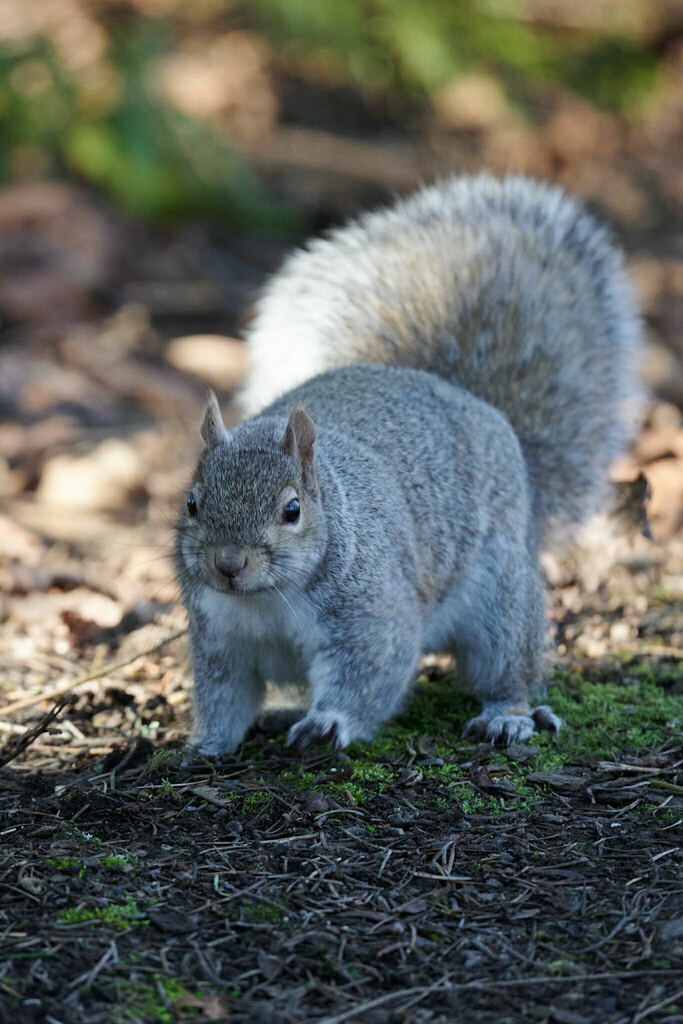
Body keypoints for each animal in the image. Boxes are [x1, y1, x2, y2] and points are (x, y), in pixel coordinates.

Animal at [176, 173, 643, 757]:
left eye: (292, 510)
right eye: (192, 503)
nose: (228, 564)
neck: (265, 602)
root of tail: (479, 407)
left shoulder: (374, 614)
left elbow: (370, 675)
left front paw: (330, 722)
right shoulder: (218, 640)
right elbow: (224, 698)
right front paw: (207, 744)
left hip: (500, 595)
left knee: (509, 664)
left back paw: (506, 716)